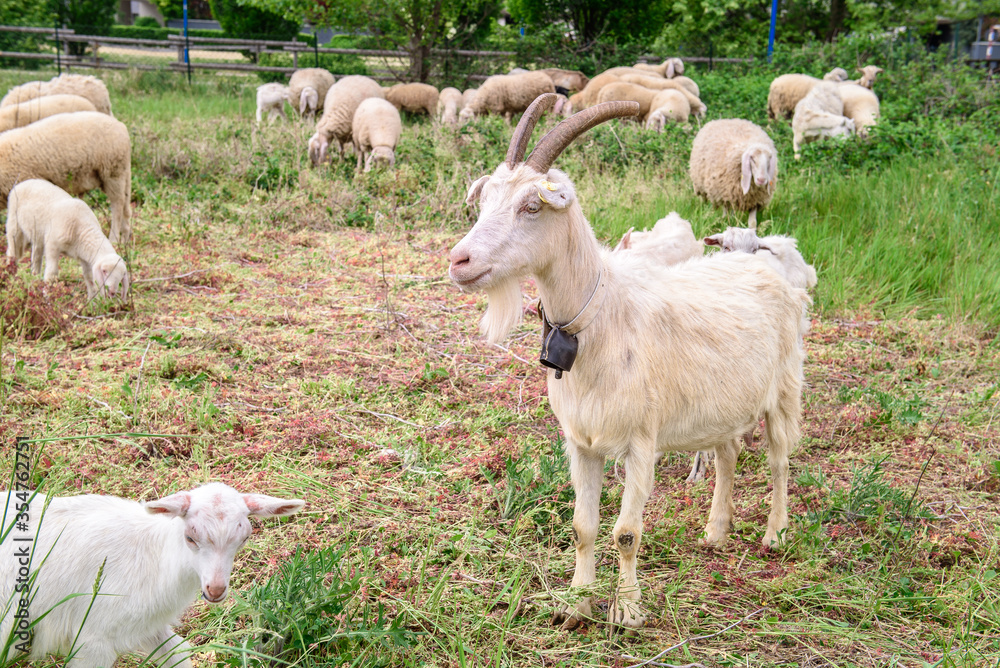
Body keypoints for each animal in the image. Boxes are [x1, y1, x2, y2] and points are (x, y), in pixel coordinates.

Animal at [0, 111, 132, 245]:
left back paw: (114, 239)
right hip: (122, 172)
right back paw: (125, 238)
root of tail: (121, 126)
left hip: (112, 172)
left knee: (118, 205)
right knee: (126, 204)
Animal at [0, 483, 304, 668]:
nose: (215, 590)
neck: (154, 559)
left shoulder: (146, 627)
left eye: (244, 538)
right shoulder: (92, 637)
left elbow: (179, 654)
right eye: (190, 538)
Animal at [449, 94, 808, 629]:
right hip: (725, 405)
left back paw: (774, 535)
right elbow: (583, 525)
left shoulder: (642, 442)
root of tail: (760, 262)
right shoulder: (580, 442)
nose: (459, 261)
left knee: (780, 459)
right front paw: (575, 605)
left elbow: (625, 532)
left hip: (784, 388)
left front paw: (628, 611)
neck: (600, 319)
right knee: (728, 454)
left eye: (531, 206)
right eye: (485, 199)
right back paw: (715, 532)